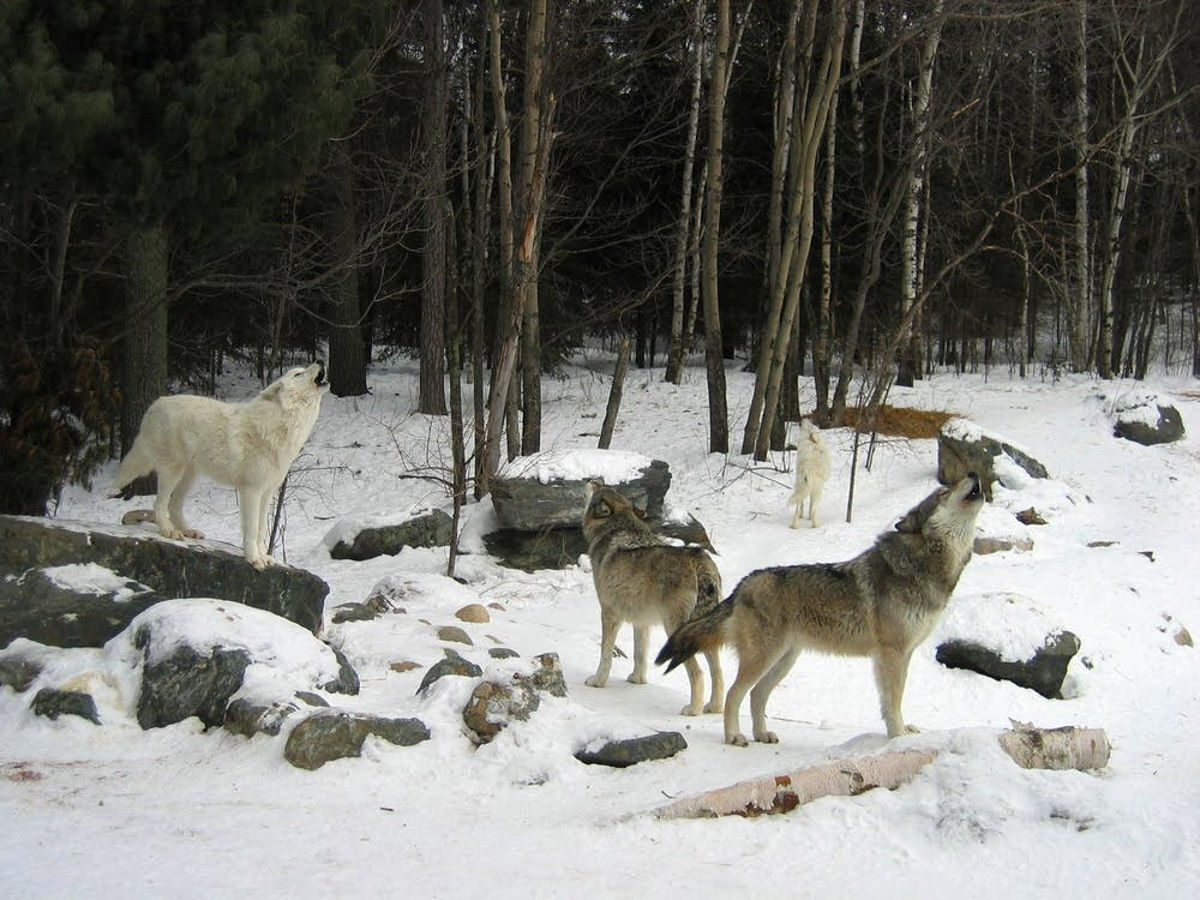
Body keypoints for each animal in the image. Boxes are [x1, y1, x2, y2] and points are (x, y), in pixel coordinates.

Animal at [111, 362, 328, 569]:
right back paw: (169, 531)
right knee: (159, 504)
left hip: (189, 478)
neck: (283, 424)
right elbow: (251, 530)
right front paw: (254, 559)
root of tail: (156, 403)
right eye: (298, 374)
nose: (320, 361)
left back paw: (188, 531)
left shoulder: (267, 493)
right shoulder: (251, 491)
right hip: (172, 472)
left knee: (173, 505)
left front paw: (264, 557)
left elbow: (261, 531)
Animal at [582, 483, 725, 716]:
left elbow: (605, 653)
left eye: (598, 488)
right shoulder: (641, 622)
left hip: (674, 631)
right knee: (719, 673)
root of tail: (698, 559)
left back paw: (693, 710)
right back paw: (713, 707)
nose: (591, 479)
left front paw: (597, 681)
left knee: (698, 673)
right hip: (703, 633)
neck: (615, 528)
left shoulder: (609, 614)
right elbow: (639, 655)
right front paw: (637, 680)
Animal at [657, 473, 983, 744]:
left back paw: (762, 734)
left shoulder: (905, 654)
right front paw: (898, 736)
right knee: (734, 694)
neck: (924, 565)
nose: (974, 473)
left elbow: (897, 699)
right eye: (943, 492)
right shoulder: (891, 654)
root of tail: (744, 583)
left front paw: (903, 731)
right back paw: (734, 737)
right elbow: (892, 700)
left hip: (784, 660)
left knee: (757, 695)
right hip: (763, 658)